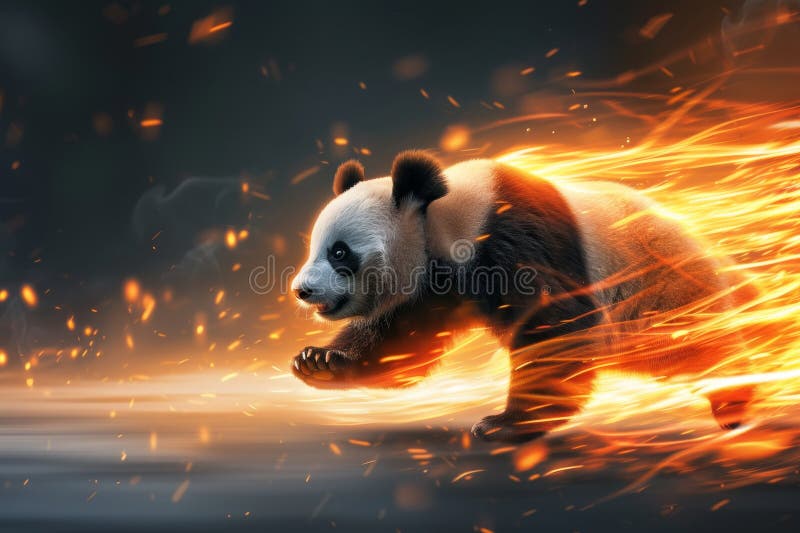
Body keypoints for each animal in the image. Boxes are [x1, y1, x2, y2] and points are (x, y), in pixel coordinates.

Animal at [290, 151, 755, 442]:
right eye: (315, 246)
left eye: (339, 252)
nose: (301, 290)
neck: (443, 216)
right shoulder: (433, 291)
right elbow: (401, 344)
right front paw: (321, 362)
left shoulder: (513, 239)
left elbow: (556, 327)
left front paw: (504, 424)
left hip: (662, 292)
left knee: (700, 345)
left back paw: (734, 398)